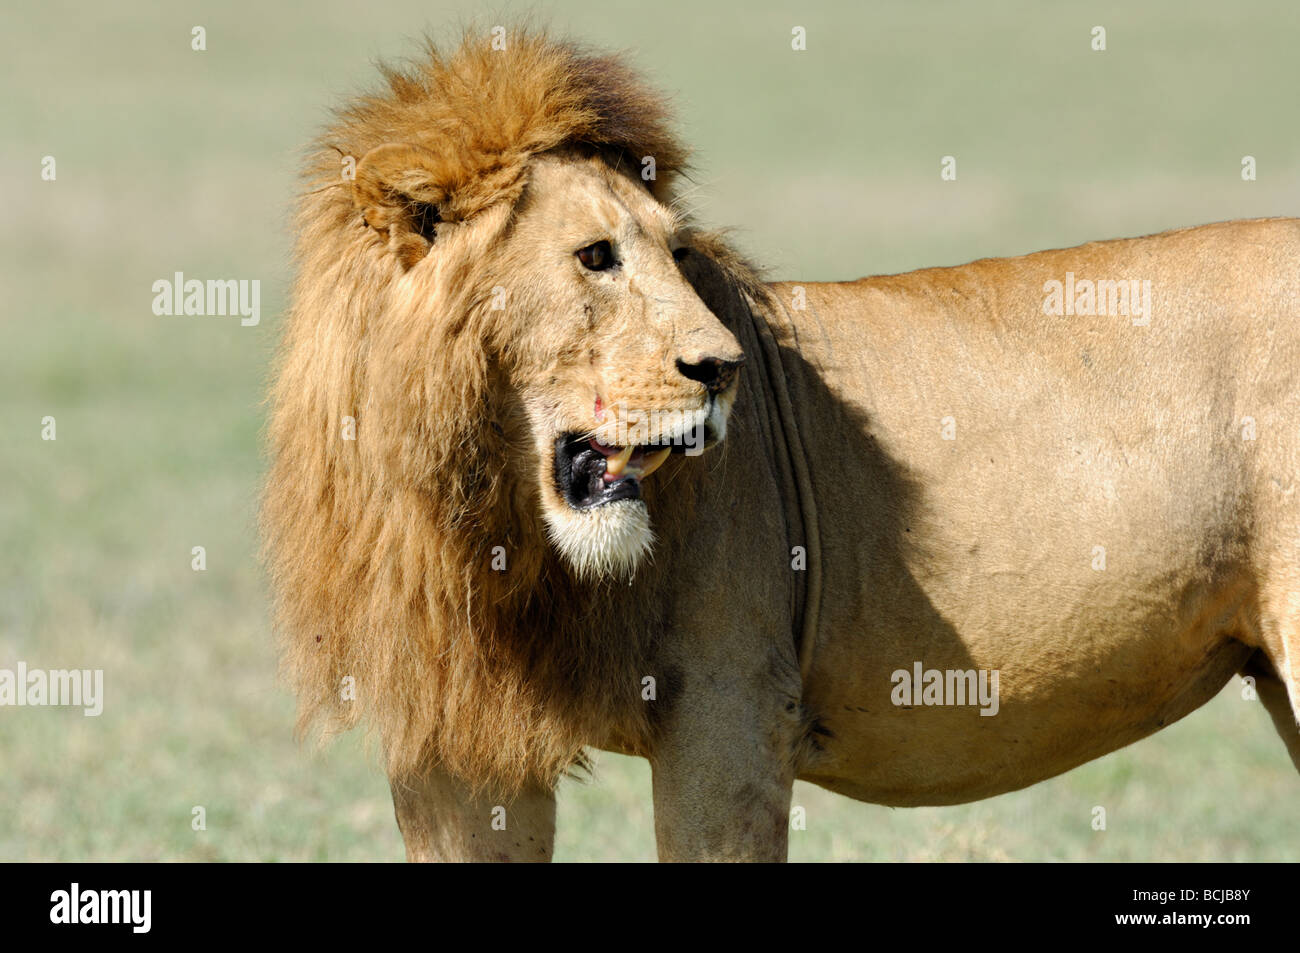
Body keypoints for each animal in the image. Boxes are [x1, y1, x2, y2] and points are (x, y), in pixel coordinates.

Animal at [263, 28, 1300, 861]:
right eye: (597, 256)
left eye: (677, 252)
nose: (722, 367)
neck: (482, 523)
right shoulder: (452, 744)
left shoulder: (730, 706)